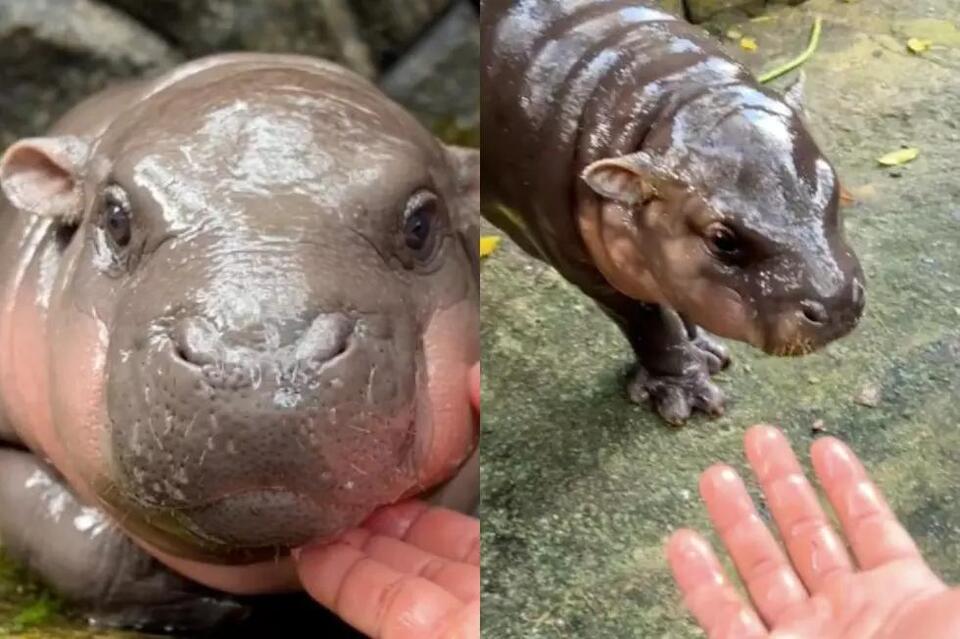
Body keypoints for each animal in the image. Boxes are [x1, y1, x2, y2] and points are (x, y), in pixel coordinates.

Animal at [481, 0, 865, 424]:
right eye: (722, 239)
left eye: (833, 184)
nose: (838, 303)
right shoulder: (587, 268)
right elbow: (649, 324)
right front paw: (685, 395)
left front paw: (706, 351)